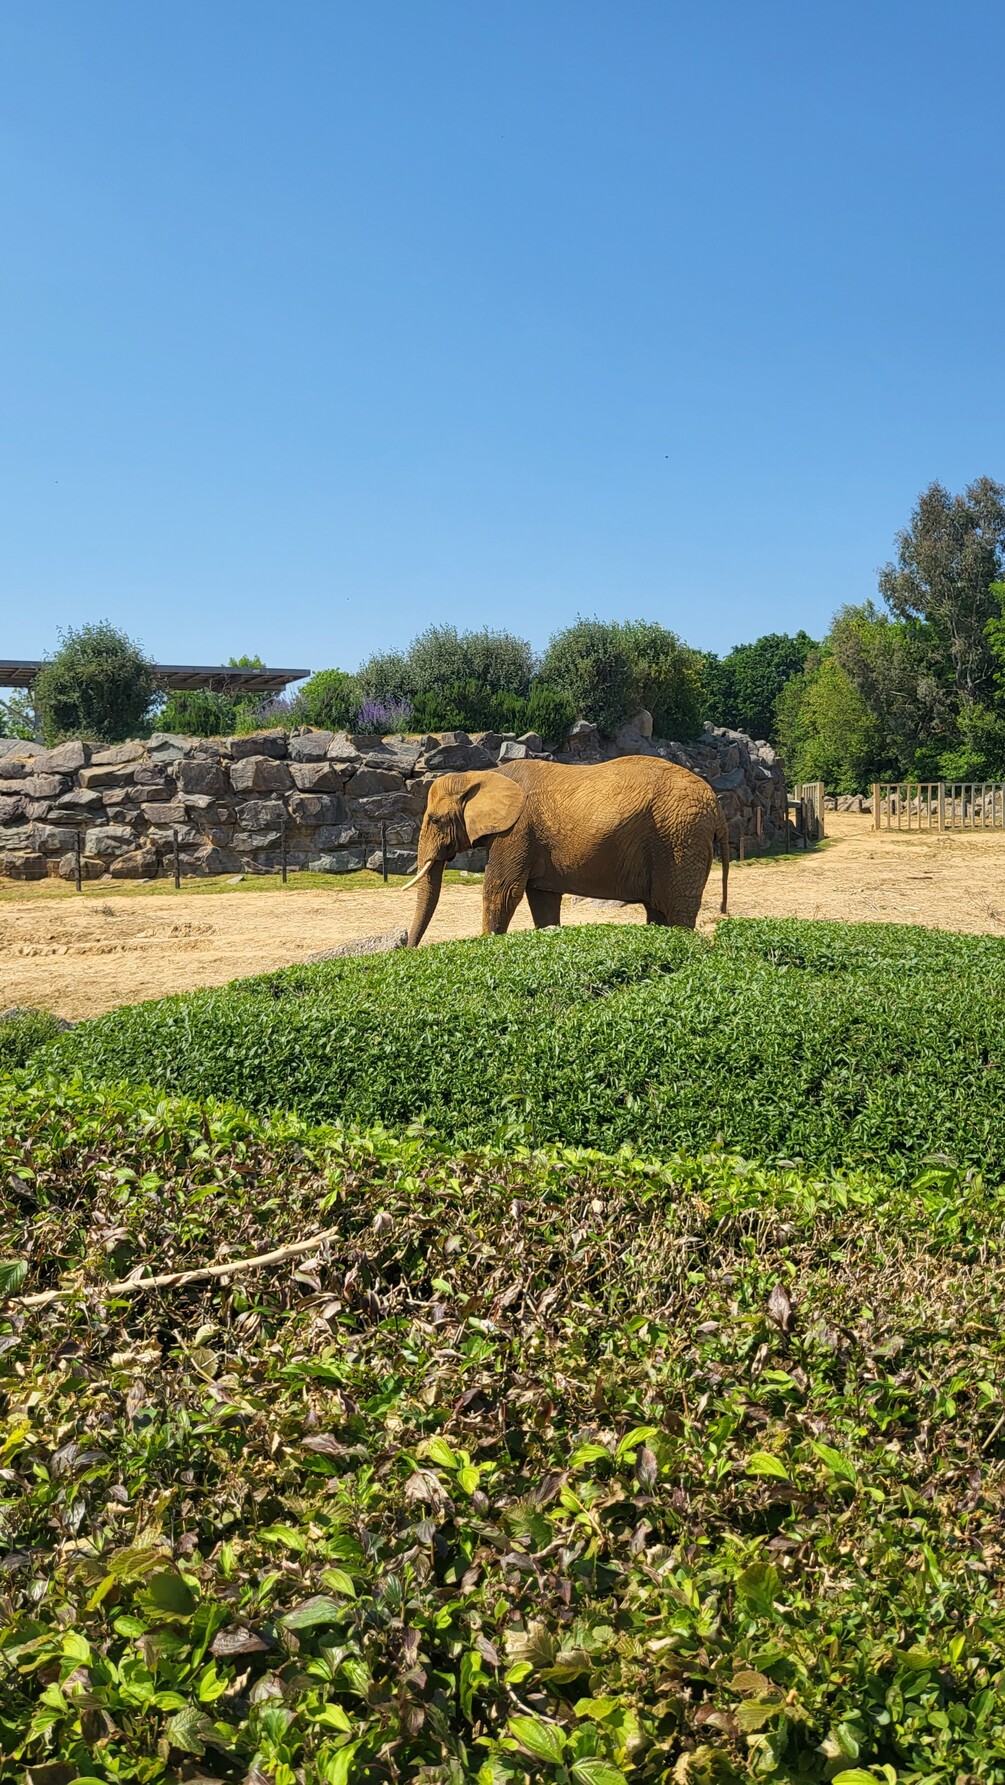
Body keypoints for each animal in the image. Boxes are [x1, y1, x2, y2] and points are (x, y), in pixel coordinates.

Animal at [404, 755, 729, 947]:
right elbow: (542, 899)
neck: (485, 774)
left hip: (679, 838)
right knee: (658, 910)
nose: (411, 949)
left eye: (436, 820)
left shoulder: (517, 830)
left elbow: (502, 890)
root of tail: (717, 808)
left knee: (676, 909)